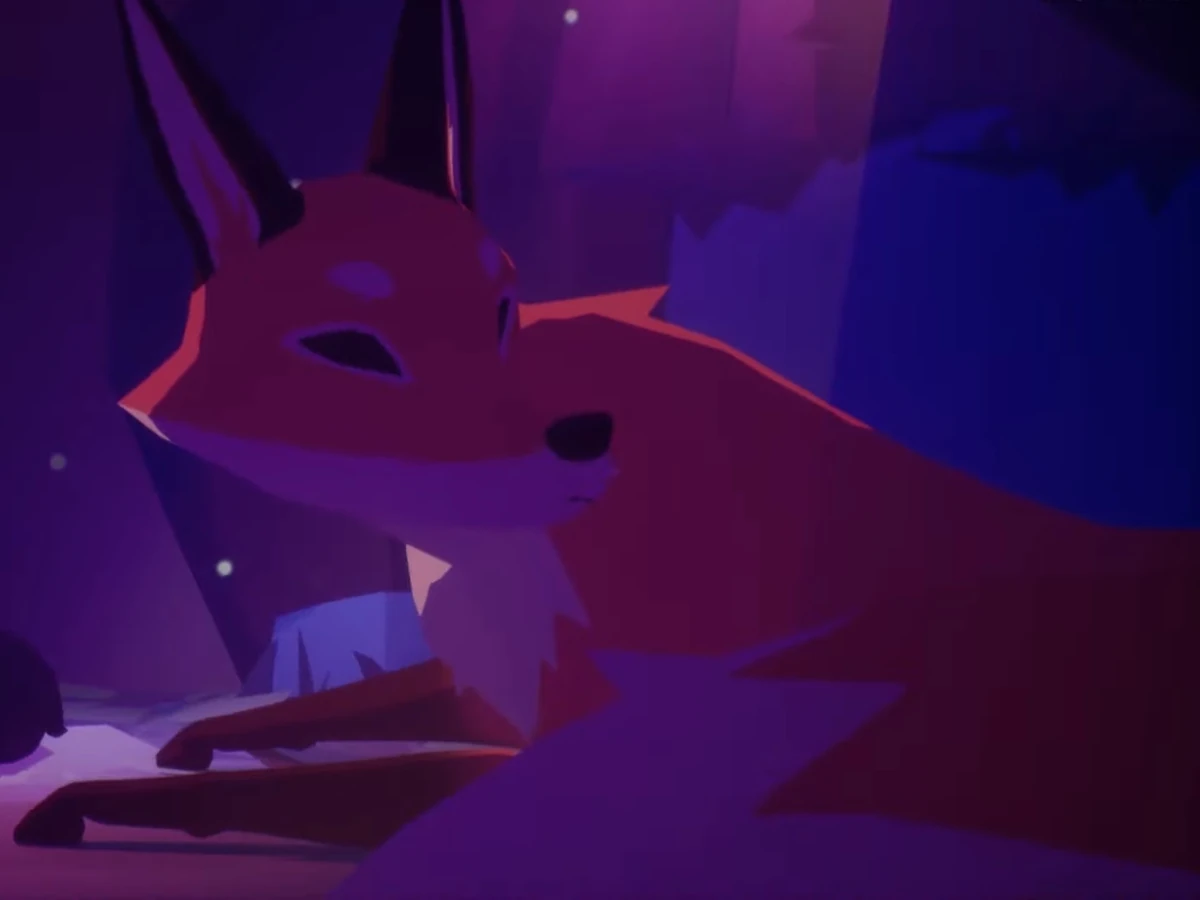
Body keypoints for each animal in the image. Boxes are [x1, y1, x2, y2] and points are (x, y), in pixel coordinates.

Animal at [14, 0, 1199, 885]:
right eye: (350, 347)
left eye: (501, 308)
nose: (584, 435)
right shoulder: (495, 684)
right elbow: (325, 706)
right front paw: (197, 739)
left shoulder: (534, 743)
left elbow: (271, 787)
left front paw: (85, 801)